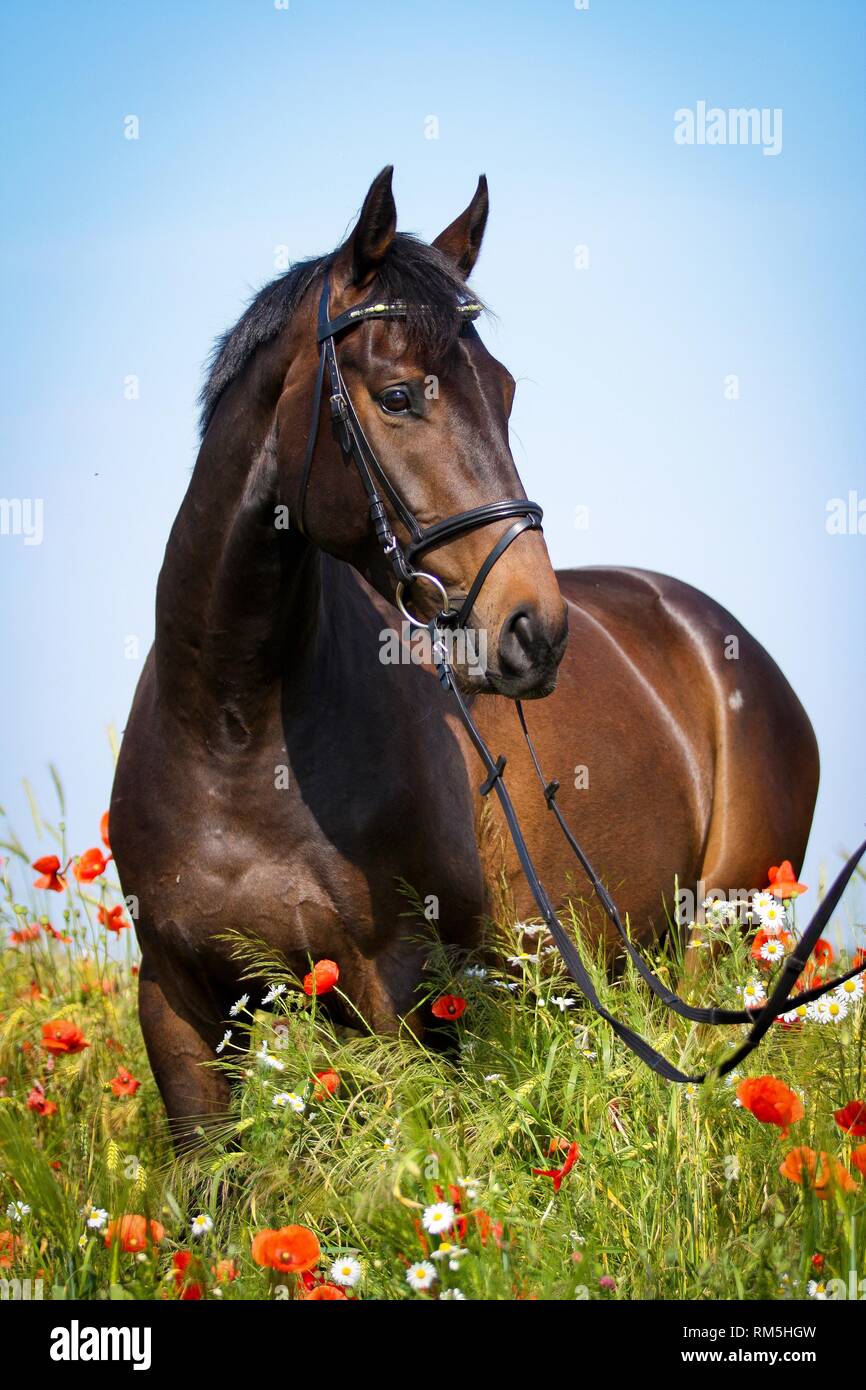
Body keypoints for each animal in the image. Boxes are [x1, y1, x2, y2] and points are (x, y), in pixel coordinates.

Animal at [110, 168, 819, 1136]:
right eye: (399, 395)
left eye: (505, 390)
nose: (534, 629)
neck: (231, 726)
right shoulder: (179, 1003)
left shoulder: (404, 997)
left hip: (727, 933)